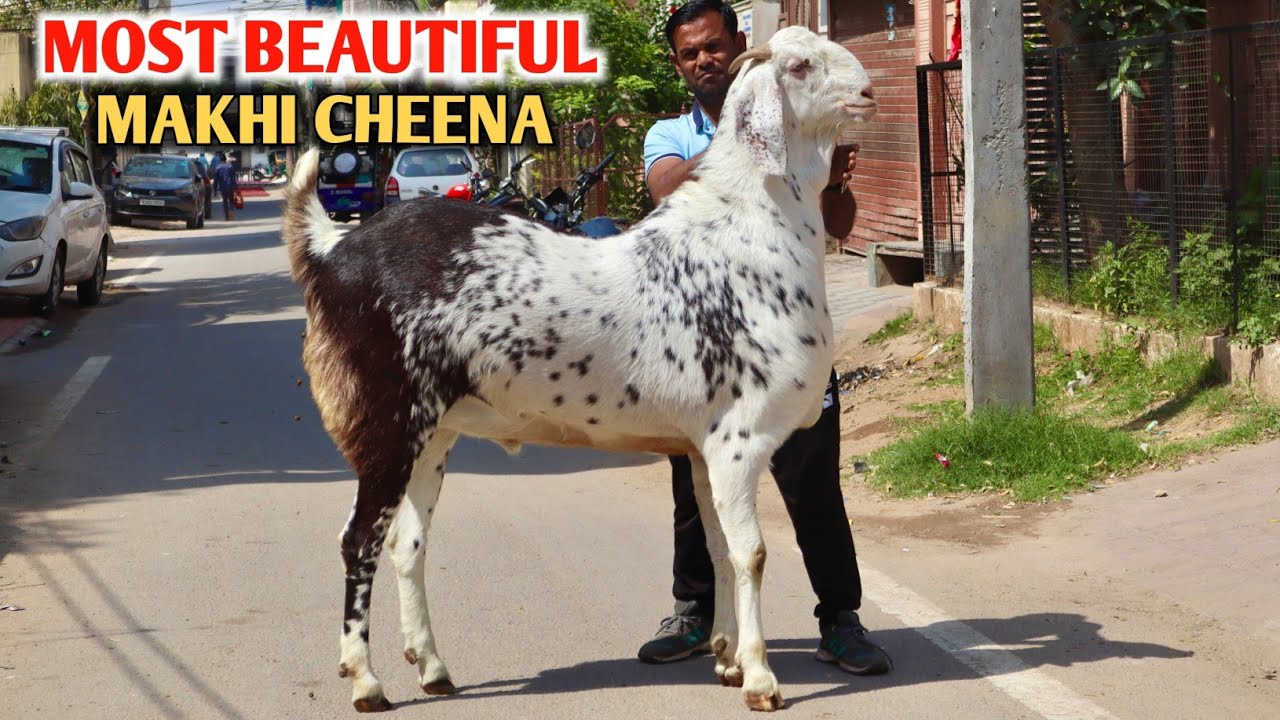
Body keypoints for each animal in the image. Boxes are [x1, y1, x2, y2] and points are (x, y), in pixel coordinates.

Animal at [282, 26, 876, 713]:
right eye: (800, 65)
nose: (869, 91)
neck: (746, 231)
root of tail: (330, 251)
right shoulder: (740, 440)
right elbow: (751, 554)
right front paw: (758, 679)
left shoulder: (703, 448)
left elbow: (722, 553)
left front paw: (726, 660)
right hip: (385, 426)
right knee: (358, 542)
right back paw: (366, 680)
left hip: (433, 434)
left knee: (408, 545)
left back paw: (432, 668)